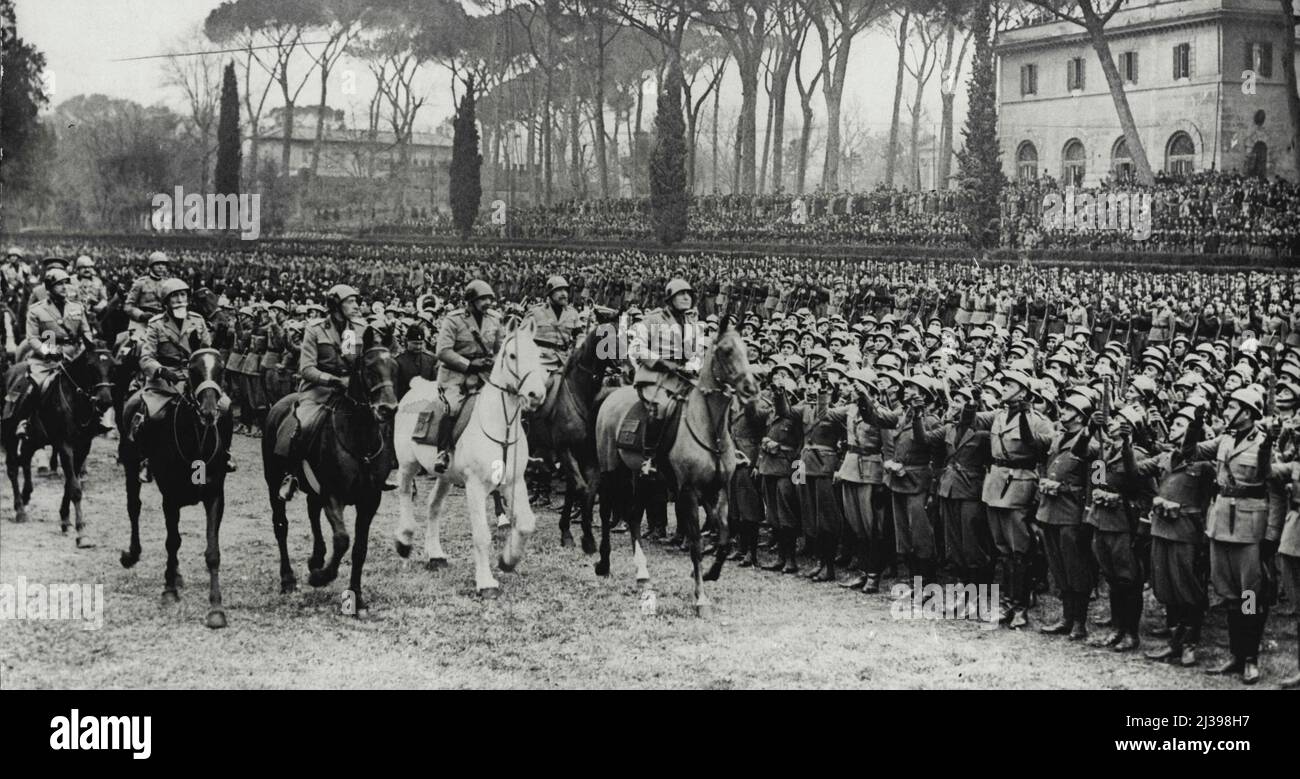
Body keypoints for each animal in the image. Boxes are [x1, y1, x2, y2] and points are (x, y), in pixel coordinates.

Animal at [0, 335, 113, 543]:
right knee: (12, 468)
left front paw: (65, 519)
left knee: (25, 459)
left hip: (33, 439)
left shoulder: (83, 447)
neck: (75, 400)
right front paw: (81, 531)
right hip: (9, 436)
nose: (105, 401)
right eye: (91, 365)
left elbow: (70, 483)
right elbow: (75, 488)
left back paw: (26, 495)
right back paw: (20, 510)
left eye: (113, 365)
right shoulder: (64, 445)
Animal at [390, 317, 543, 598]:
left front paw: (507, 561)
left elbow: (526, 523)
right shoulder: (475, 486)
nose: (536, 395)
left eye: (538, 354)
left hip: (445, 476)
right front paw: (486, 582)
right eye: (512, 355)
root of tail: (416, 386)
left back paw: (435, 555)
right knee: (405, 493)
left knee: (433, 506)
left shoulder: (514, 482)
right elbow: (482, 535)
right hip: (407, 464)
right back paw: (404, 541)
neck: (500, 424)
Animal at [595, 316, 759, 616]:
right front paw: (701, 598)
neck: (710, 429)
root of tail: (612, 396)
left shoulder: (718, 490)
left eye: (746, 350)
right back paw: (603, 564)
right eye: (726, 351)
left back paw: (642, 575)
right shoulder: (689, 493)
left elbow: (724, 536)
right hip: (611, 471)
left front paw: (710, 574)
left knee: (633, 516)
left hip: (642, 478)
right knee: (605, 511)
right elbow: (696, 543)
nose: (751, 390)